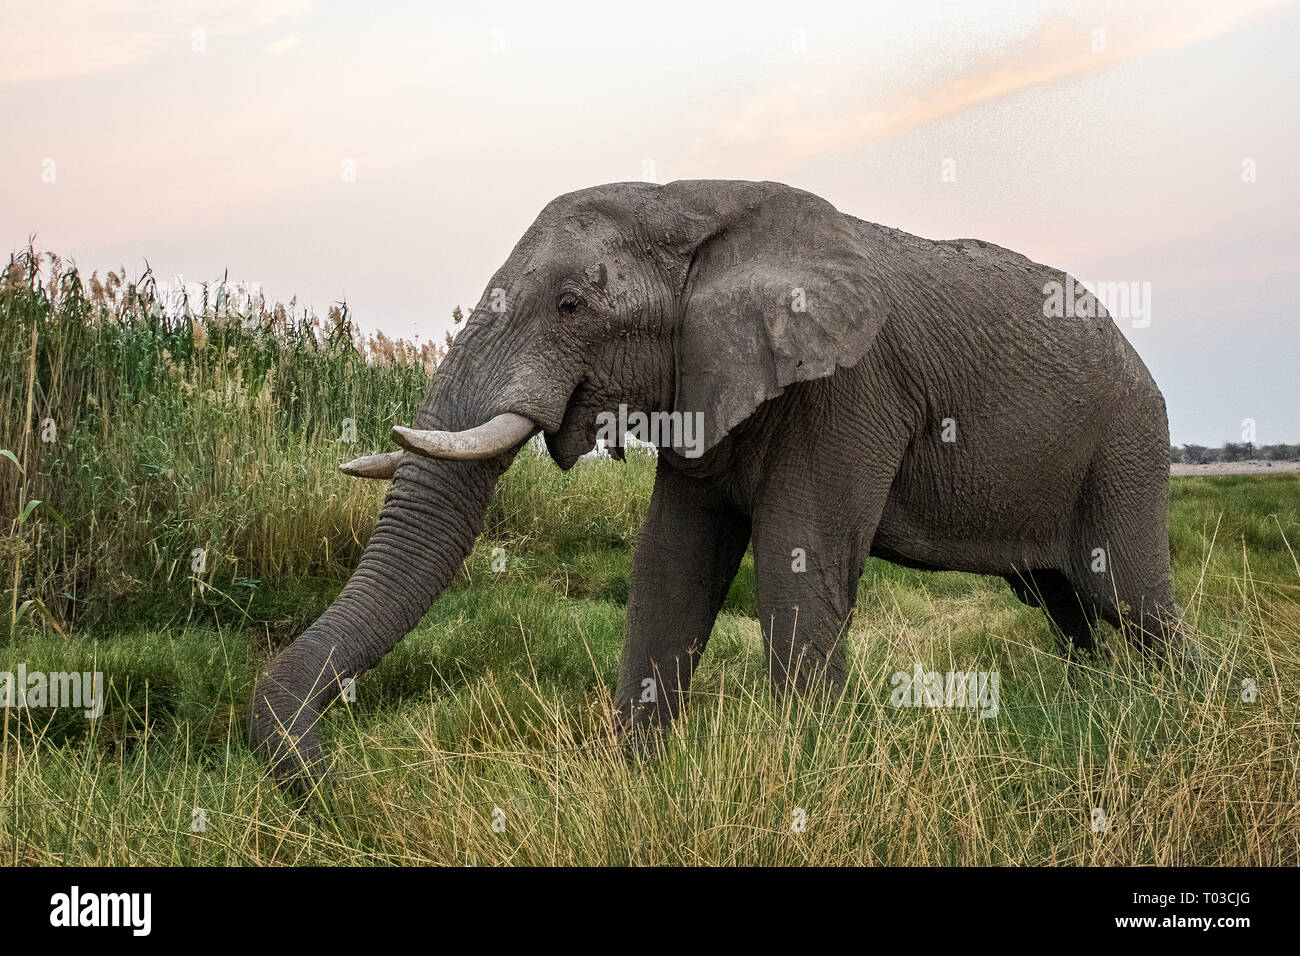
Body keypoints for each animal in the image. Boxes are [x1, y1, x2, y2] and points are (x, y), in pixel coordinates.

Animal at [249, 179, 1183, 783]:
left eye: (570, 306)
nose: (336, 785)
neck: (694, 203)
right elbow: (671, 565)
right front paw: (636, 782)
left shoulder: (848, 389)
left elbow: (796, 565)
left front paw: (813, 780)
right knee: (1070, 606)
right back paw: (1098, 709)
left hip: (1129, 441)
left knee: (1130, 598)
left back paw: (1181, 710)